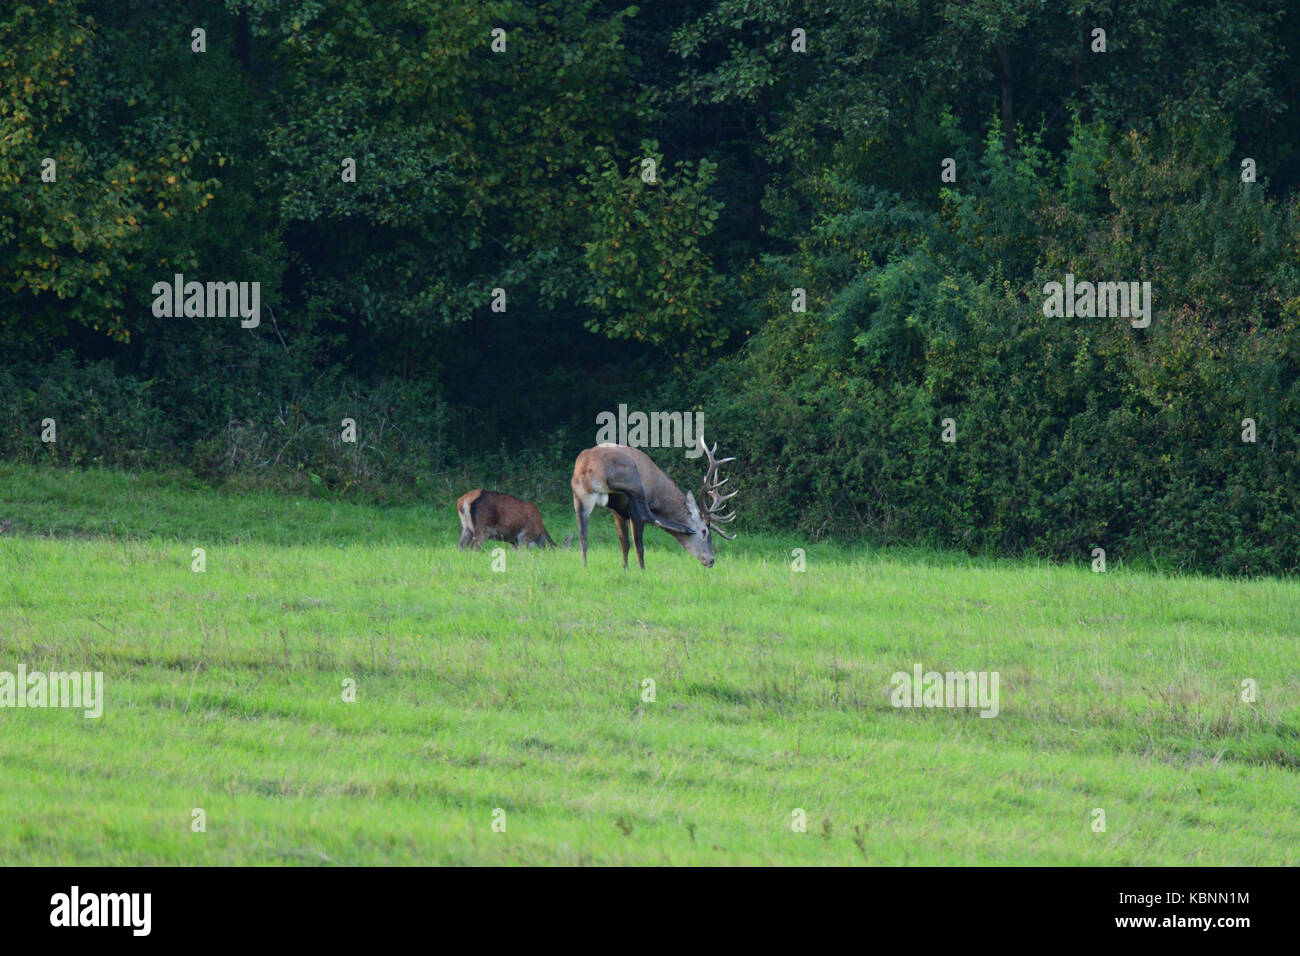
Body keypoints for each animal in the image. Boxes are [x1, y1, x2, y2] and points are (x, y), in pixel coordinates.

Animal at [570, 435, 737, 569]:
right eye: (704, 531)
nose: (711, 560)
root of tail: (588, 468)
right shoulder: (629, 508)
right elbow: (638, 545)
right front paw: (641, 571)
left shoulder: (616, 511)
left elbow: (625, 543)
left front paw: (625, 569)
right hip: (632, 480)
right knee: (645, 515)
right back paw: (682, 529)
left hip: (579, 496)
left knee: (582, 537)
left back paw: (585, 567)